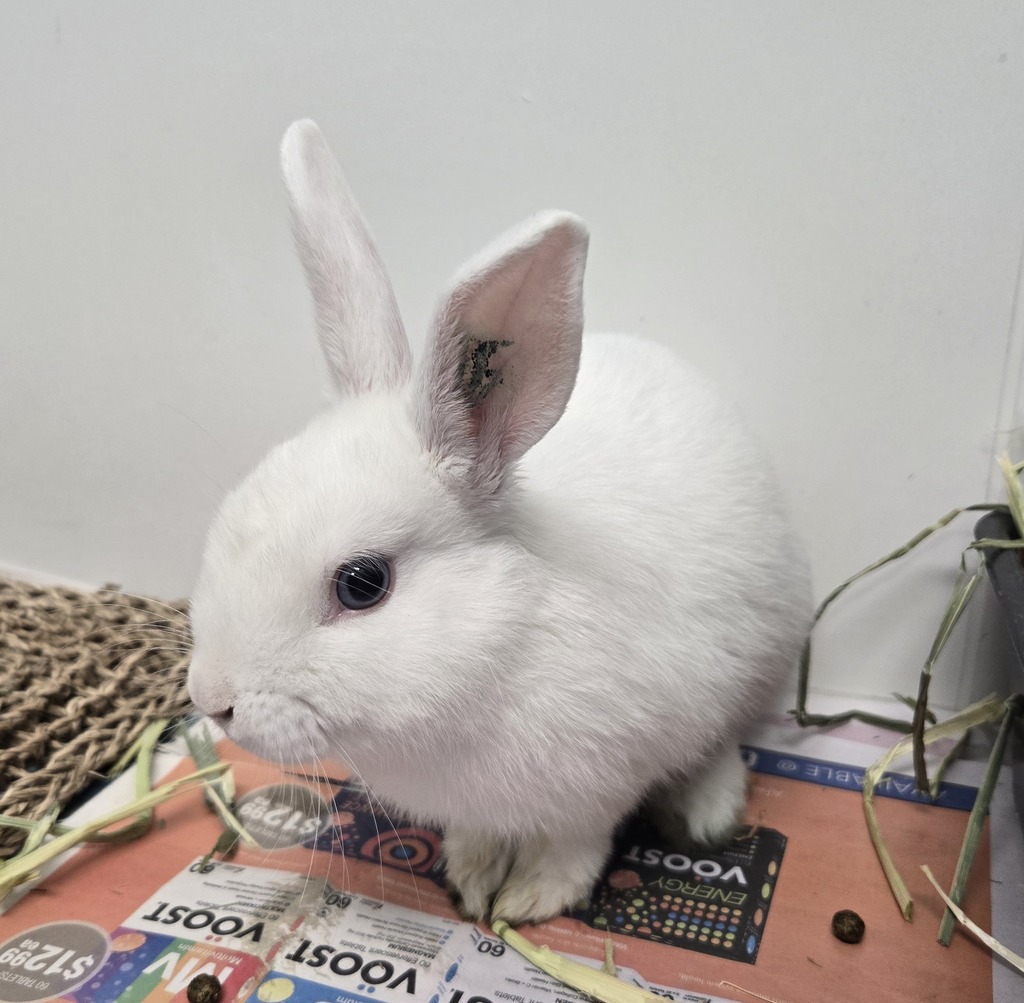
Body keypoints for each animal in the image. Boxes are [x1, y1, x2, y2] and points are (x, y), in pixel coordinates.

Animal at [187, 119, 813, 926]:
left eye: (362, 584)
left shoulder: (598, 783)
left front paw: (528, 901)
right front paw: (472, 880)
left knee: (721, 739)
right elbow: (480, 837)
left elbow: (574, 844)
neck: (501, 642)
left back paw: (707, 812)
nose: (212, 700)